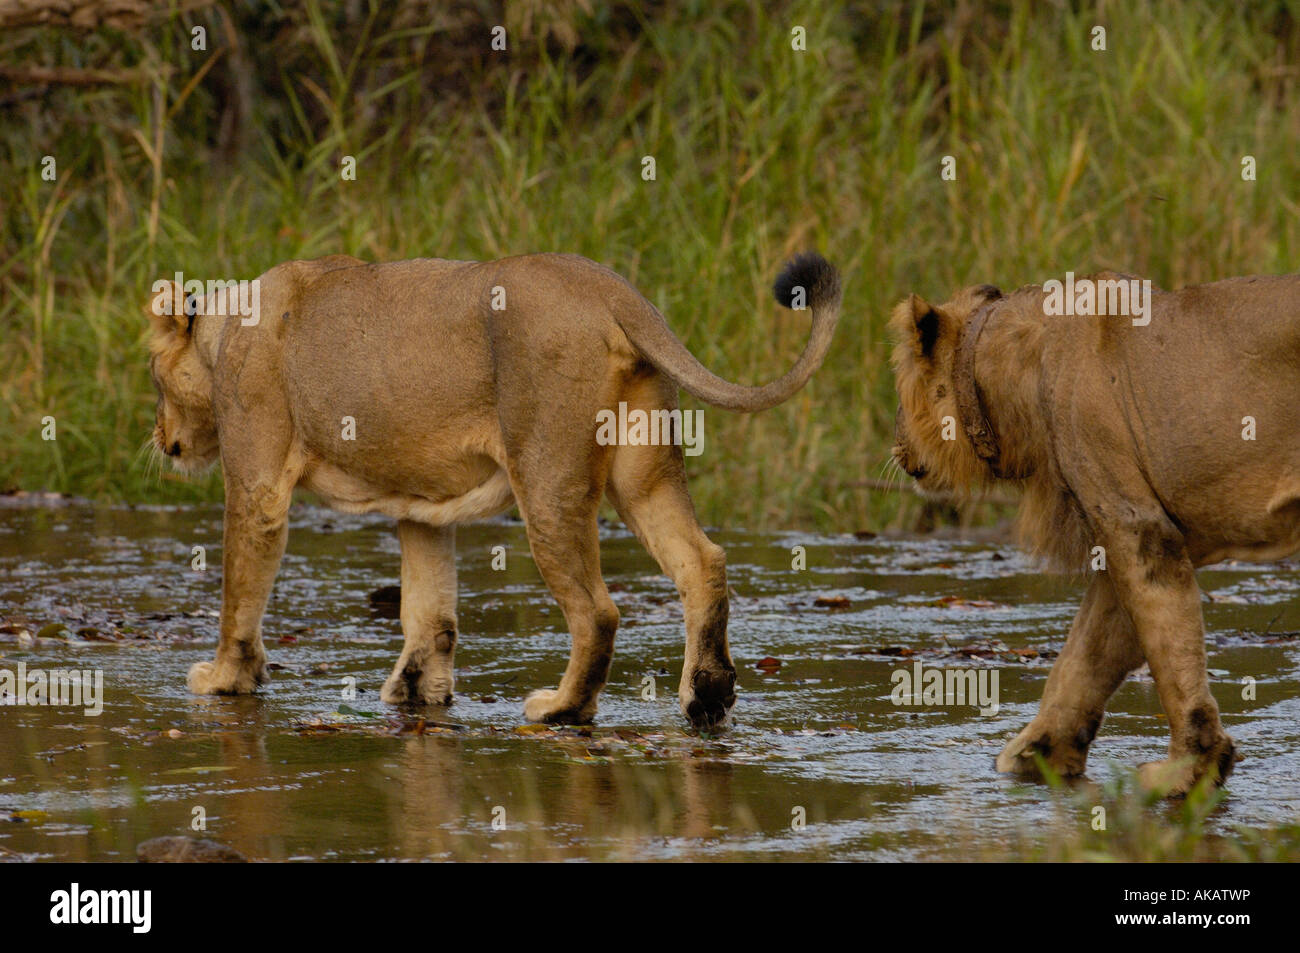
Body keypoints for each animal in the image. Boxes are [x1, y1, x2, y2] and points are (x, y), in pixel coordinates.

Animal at [146, 252, 841, 728]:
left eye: (153, 376)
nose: (158, 434)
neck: (225, 329)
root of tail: (611, 290)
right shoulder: (423, 509)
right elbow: (429, 610)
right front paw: (417, 691)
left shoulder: (258, 486)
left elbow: (239, 592)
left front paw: (224, 678)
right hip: (644, 471)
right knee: (703, 561)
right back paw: (708, 697)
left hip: (547, 478)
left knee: (597, 610)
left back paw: (562, 708)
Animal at [889, 271, 1300, 795]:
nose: (896, 447)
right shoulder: (1131, 529)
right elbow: (1086, 655)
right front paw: (1036, 754)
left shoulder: (1136, 525)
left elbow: (1169, 654)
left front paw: (1188, 769)